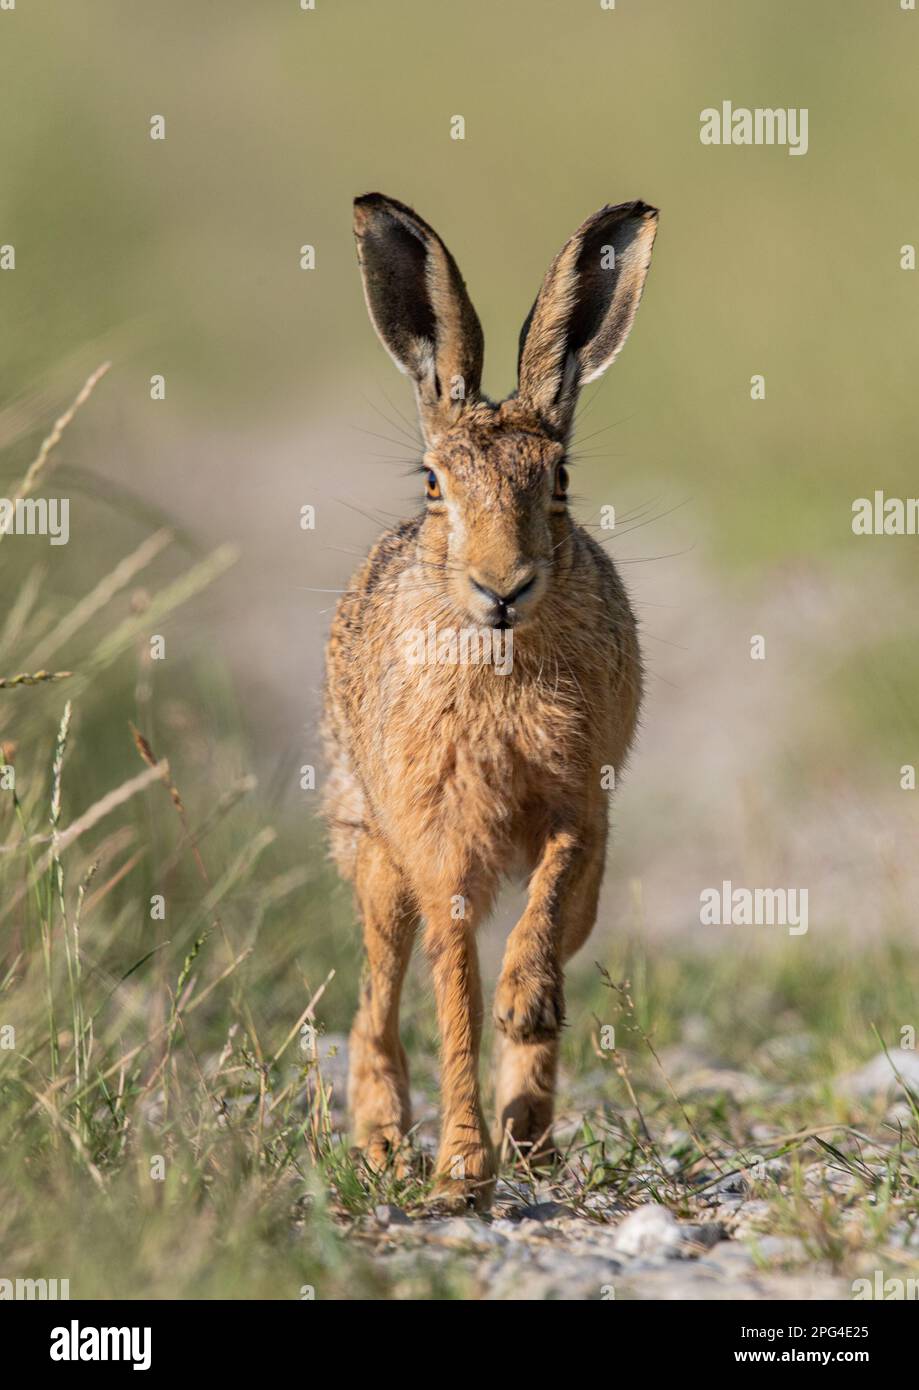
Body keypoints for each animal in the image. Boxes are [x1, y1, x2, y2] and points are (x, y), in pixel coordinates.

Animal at [323, 192, 658, 1211]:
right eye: (433, 483)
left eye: (559, 482)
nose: (502, 587)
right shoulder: (437, 839)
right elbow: (453, 994)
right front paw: (459, 1173)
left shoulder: (580, 802)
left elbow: (543, 906)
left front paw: (525, 1006)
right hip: (372, 851)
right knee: (379, 985)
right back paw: (387, 1141)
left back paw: (530, 1129)